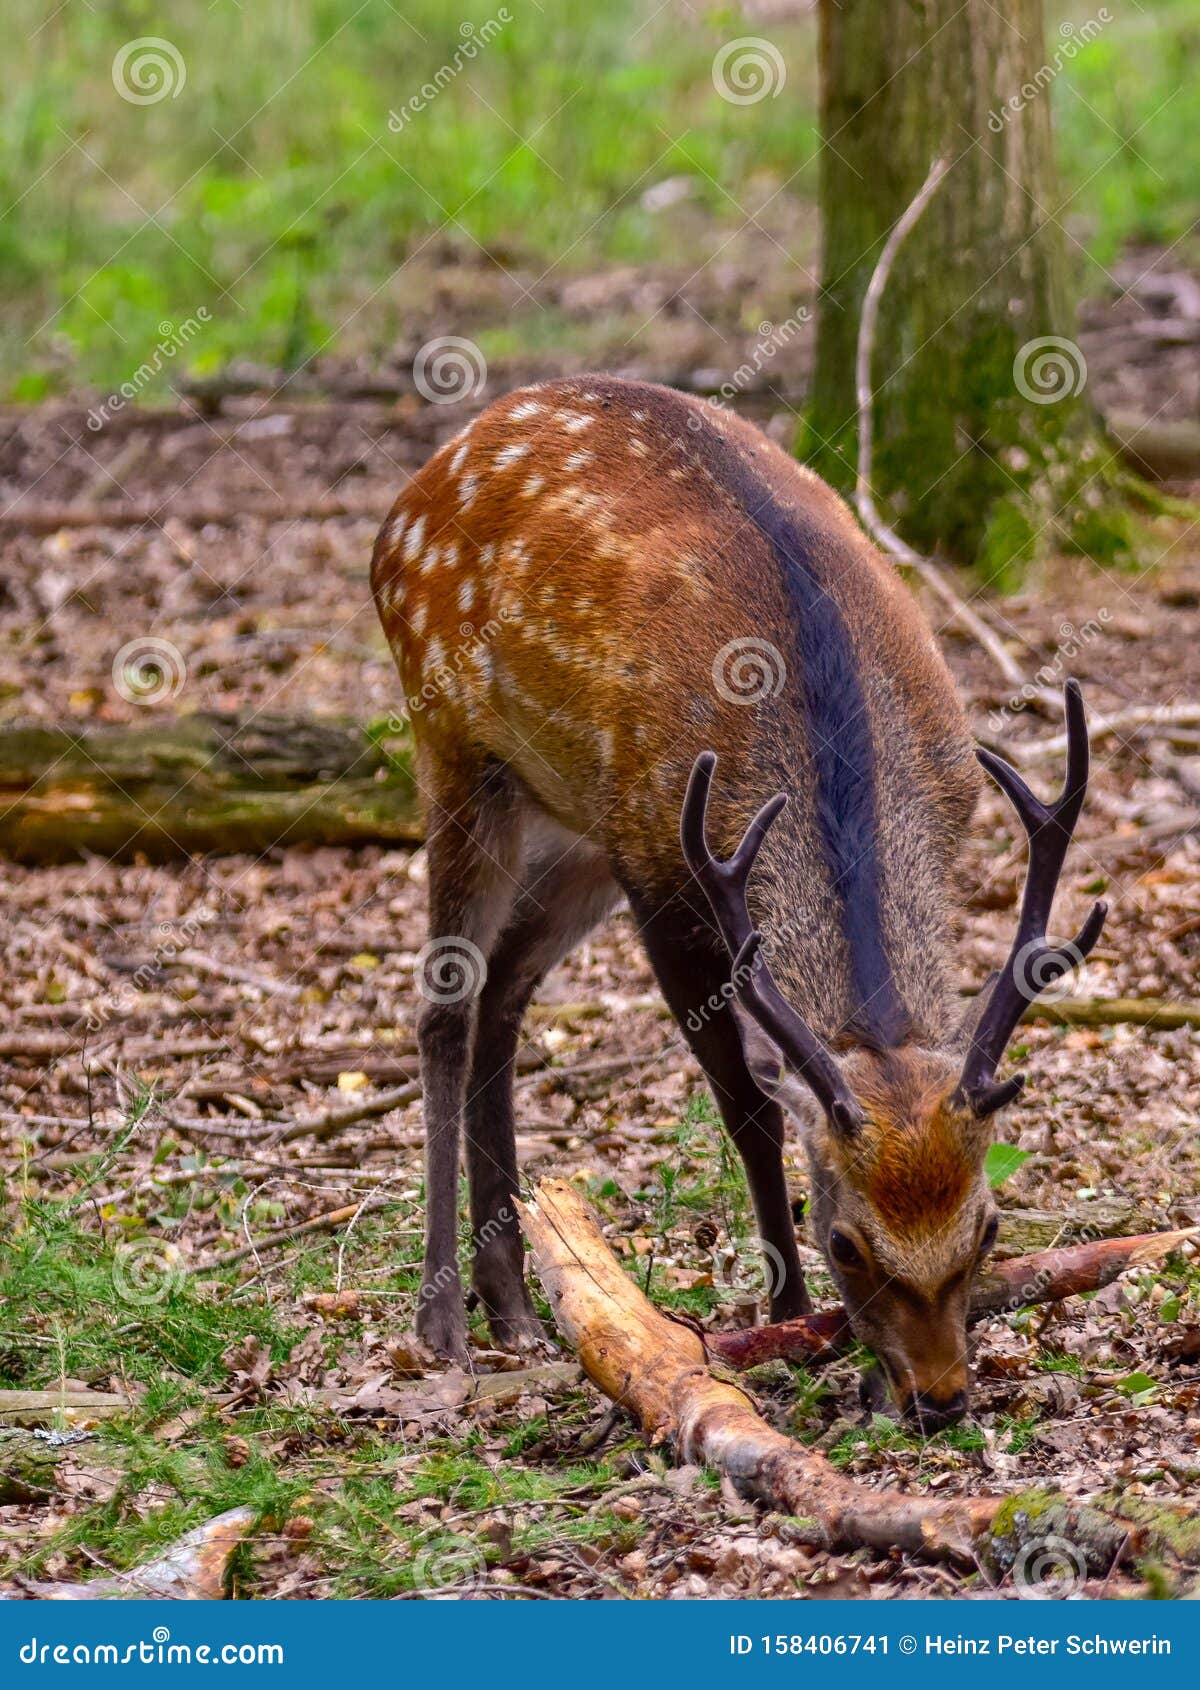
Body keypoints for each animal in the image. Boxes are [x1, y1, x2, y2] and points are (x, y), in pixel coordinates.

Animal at [371, 374, 1105, 1429]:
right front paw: (790, 1314)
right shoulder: (664, 875)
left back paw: (513, 1304)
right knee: (444, 1002)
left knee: (504, 986)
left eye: (988, 1227)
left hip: (579, 823)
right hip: (458, 750)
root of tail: (420, 484)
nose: (937, 1398)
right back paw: (442, 1323)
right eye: (846, 1242)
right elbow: (749, 1106)